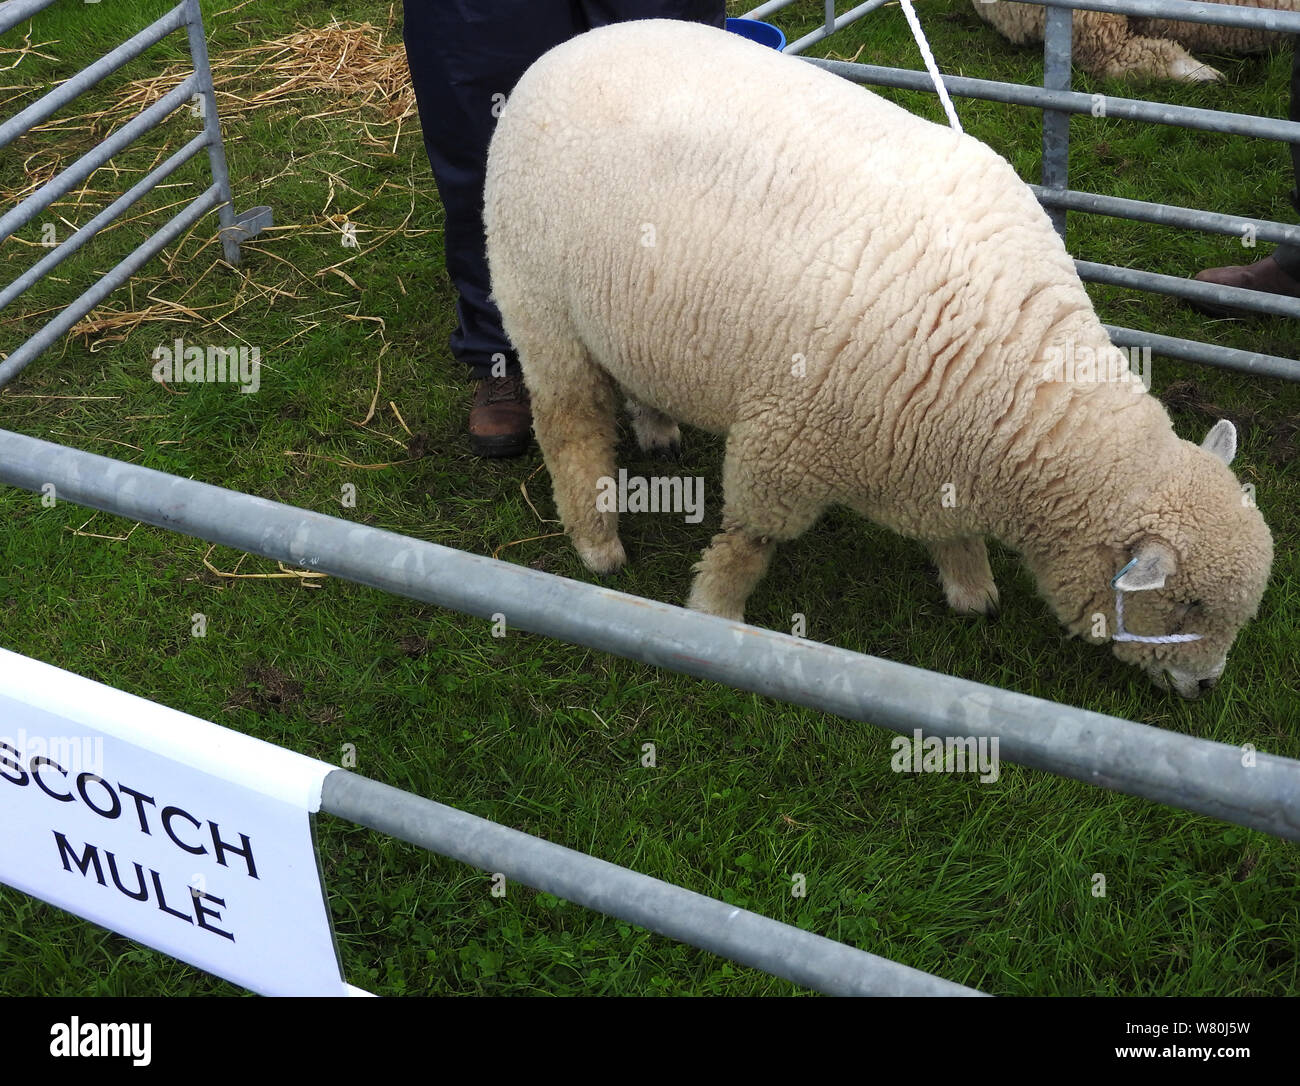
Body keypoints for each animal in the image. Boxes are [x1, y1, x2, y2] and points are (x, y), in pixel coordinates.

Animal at [483, 19, 1273, 699]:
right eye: (1187, 605)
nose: (1207, 686)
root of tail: (564, 50)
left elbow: (953, 533)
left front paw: (972, 590)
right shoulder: (785, 444)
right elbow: (750, 543)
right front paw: (714, 614)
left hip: (624, 314)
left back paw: (655, 427)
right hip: (539, 304)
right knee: (570, 421)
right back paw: (597, 542)